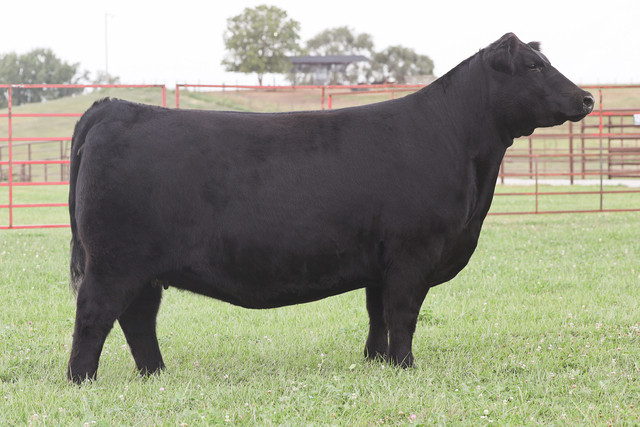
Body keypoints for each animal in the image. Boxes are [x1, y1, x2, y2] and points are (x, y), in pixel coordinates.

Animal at [66, 33, 594, 383]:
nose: (587, 97)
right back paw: (82, 379)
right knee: (96, 313)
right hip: (114, 261)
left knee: (138, 318)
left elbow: (377, 314)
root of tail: (116, 107)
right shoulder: (412, 254)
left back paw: (156, 373)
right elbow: (403, 313)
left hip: (143, 269)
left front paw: (378, 361)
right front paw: (406, 366)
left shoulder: (381, 263)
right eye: (533, 66)